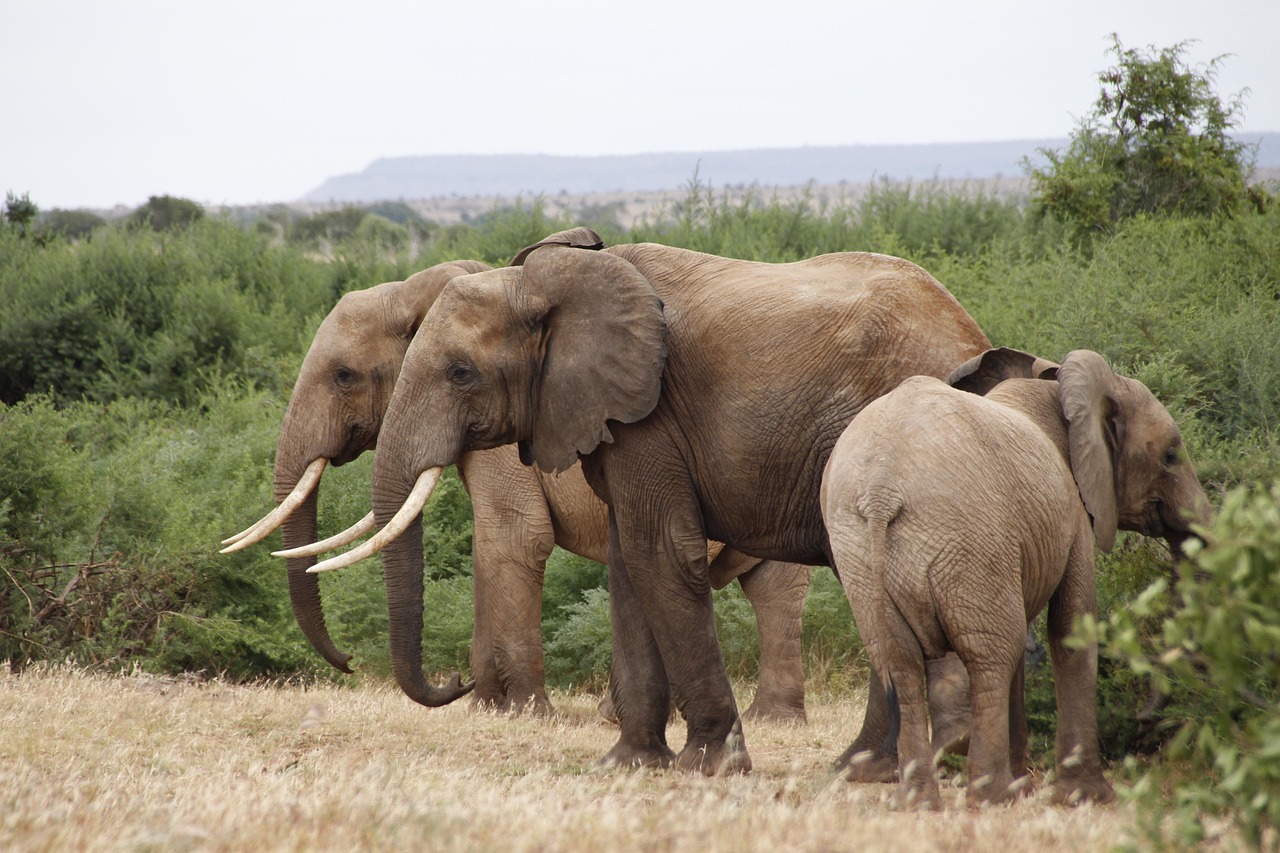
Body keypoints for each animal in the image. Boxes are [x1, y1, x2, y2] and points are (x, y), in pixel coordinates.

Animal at [220, 230, 811, 721]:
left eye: (344, 376)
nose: (347, 661)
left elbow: (513, 540)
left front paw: (526, 711)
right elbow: (490, 549)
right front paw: (486, 706)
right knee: (772, 586)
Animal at [310, 240, 993, 776]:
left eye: (459, 372)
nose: (455, 683)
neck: (541, 281)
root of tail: (974, 333)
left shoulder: (648, 415)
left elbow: (644, 550)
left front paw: (709, 766)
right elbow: (627, 562)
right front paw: (626, 764)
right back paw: (884, 763)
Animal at [820, 348, 1211, 809]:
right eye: (1170, 456)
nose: (1145, 720)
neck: (1060, 388)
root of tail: (881, 487)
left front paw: (1033, 786)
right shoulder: (1073, 512)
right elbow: (1072, 628)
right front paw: (1085, 797)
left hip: (860, 555)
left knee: (903, 664)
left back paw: (922, 803)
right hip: (968, 539)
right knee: (992, 657)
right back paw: (991, 797)